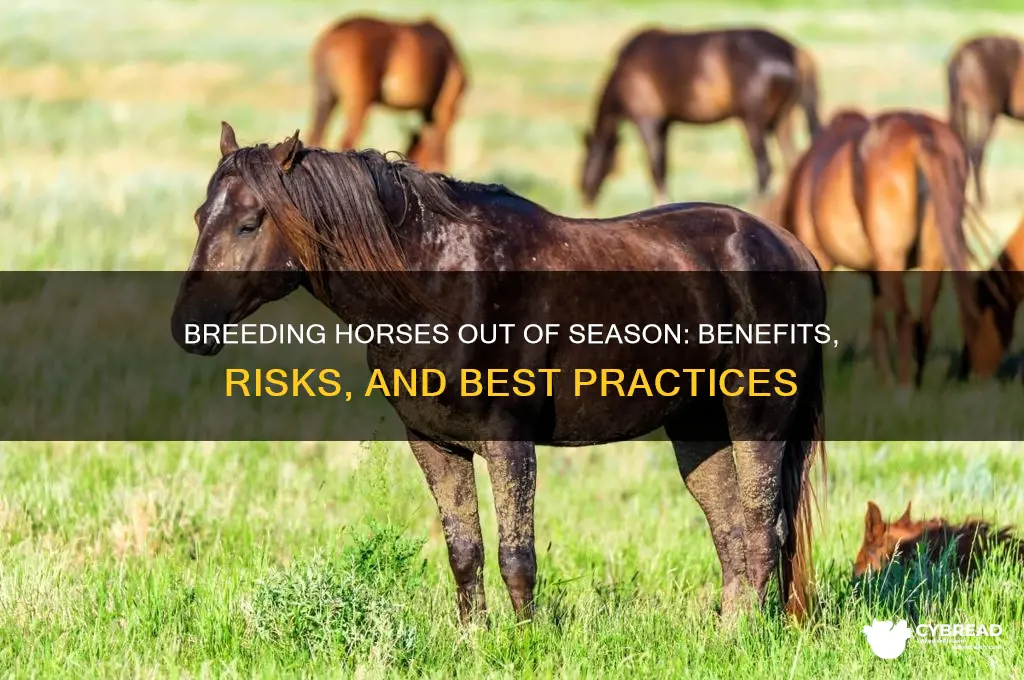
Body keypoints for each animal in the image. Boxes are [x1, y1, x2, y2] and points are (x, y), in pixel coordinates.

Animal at [171, 122, 828, 625]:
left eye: (250, 223)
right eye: (201, 215)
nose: (188, 326)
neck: (437, 282)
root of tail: (792, 248)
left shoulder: (509, 441)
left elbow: (518, 554)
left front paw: (524, 641)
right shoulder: (434, 444)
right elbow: (465, 550)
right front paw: (474, 639)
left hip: (756, 416)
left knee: (762, 529)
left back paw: (741, 639)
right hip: (697, 427)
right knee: (732, 532)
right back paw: (727, 632)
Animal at [305, 16, 468, 172]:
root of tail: (332, 38)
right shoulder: (444, 108)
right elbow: (437, 146)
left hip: (326, 99)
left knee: (315, 137)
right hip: (358, 104)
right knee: (347, 141)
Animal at [580, 27, 821, 209]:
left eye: (585, 161)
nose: (585, 196)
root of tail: (794, 51)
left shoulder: (647, 121)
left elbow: (656, 167)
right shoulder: (665, 125)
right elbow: (663, 165)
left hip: (754, 123)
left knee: (764, 167)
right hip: (781, 121)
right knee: (791, 162)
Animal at [774, 108, 982, 390]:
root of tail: (921, 135)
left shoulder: (825, 263)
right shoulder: (877, 274)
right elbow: (878, 325)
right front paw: (884, 377)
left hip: (892, 259)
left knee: (905, 320)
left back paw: (905, 389)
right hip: (932, 258)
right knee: (923, 320)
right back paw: (916, 382)